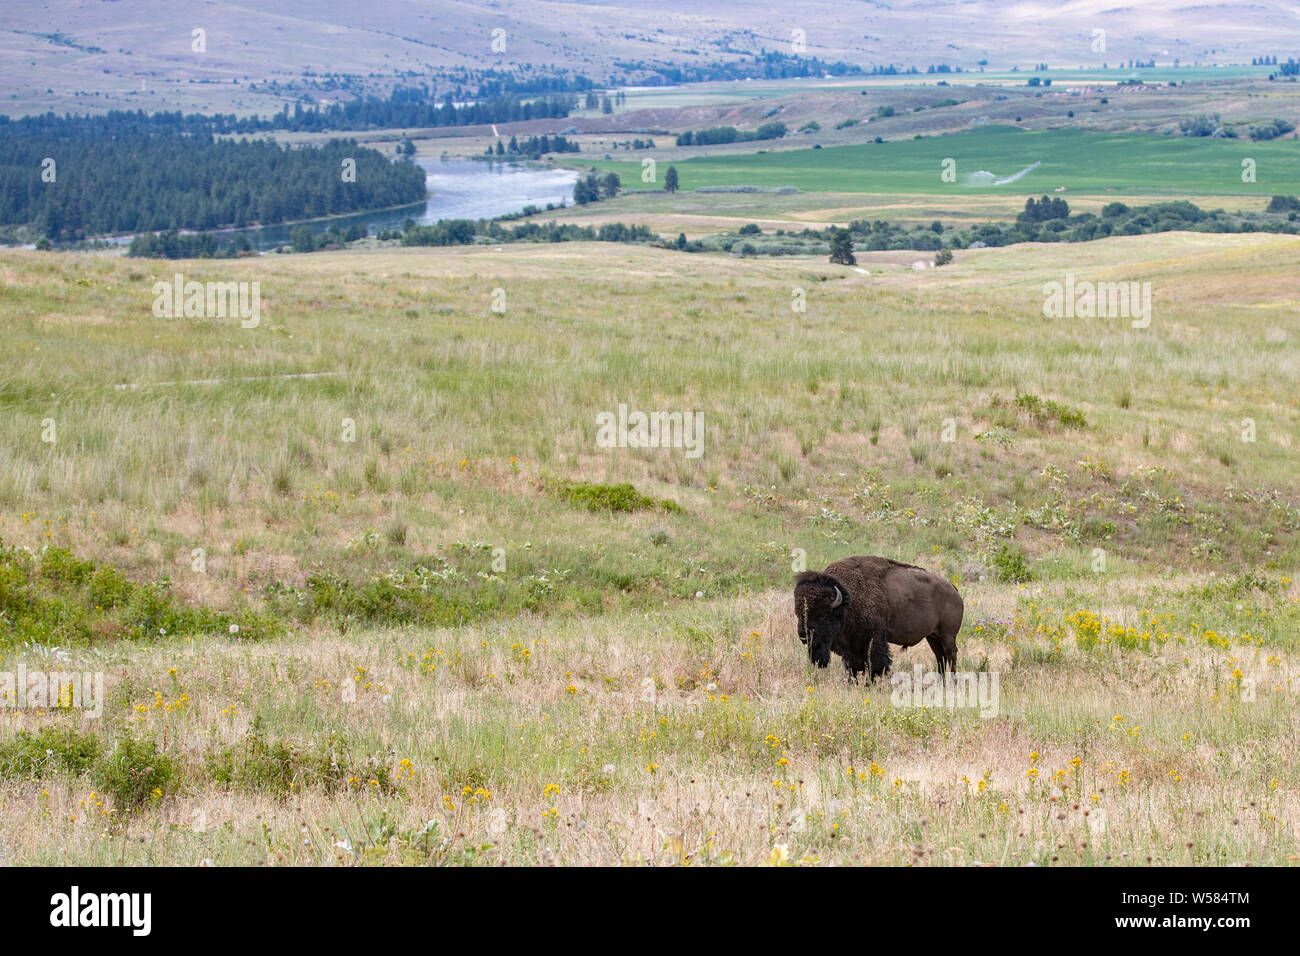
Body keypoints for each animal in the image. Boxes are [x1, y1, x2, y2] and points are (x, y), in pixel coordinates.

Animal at [794, 555, 963, 680]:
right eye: (798, 613)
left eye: (822, 615)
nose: (803, 636)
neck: (848, 599)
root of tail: (953, 589)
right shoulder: (852, 646)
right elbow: (853, 665)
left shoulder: (873, 638)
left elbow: (876, 662)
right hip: (932, 636)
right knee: (940, 657)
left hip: (948, 635)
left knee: (951, 654)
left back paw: (952, 682)